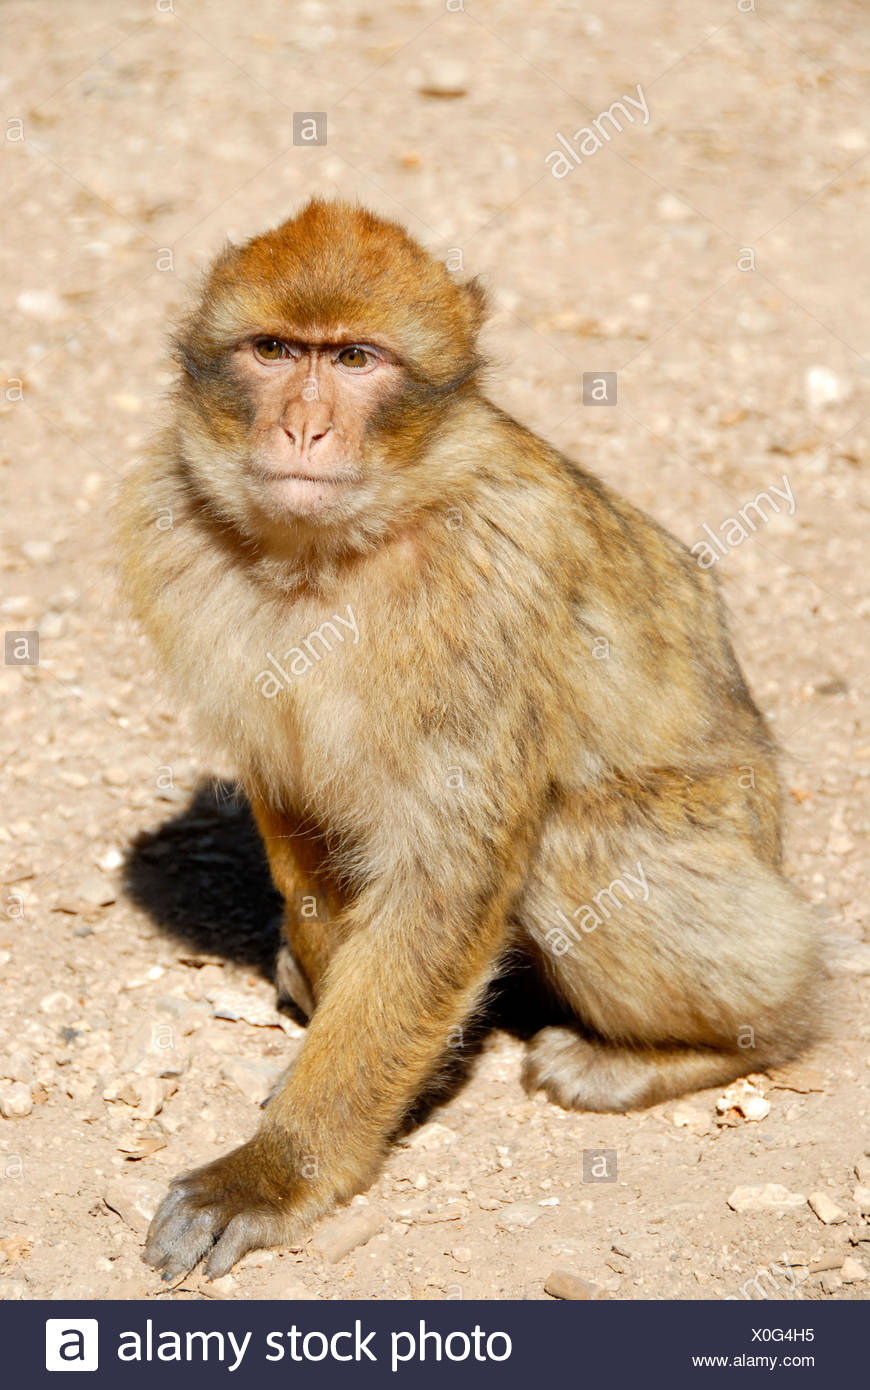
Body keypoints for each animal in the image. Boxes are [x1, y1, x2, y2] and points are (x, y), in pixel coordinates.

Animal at [117, 197, 817, 1281]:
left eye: (355, 359)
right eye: (274, 350)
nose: (304, 424)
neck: (333, 550)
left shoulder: (490, 595)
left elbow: (450, 874)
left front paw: (275, 1170)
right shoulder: (179, 537)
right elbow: (292, 795)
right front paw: (320, 1002)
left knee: (578, 848)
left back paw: (732, 1040)